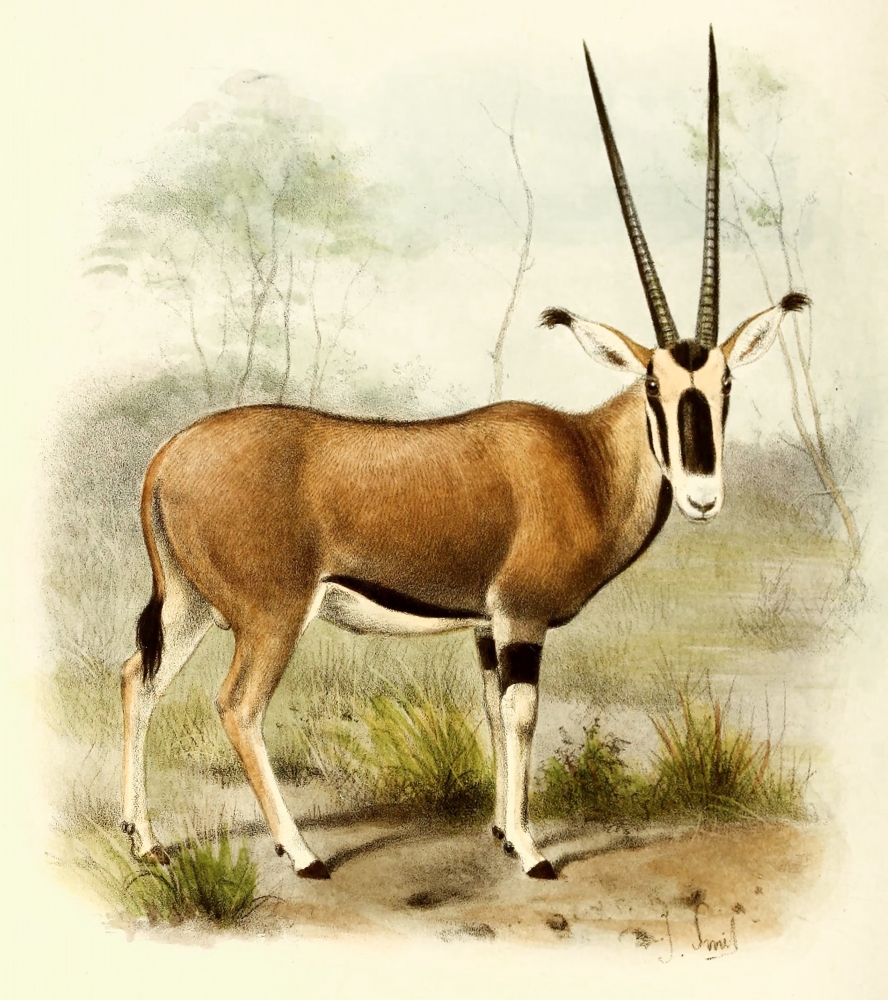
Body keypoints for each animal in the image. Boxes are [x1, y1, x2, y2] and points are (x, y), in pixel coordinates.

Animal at [120, 30, 807, 880]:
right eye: (654, 382)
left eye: (725, 382)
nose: (703, 495)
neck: (585, 457)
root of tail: (167, 457)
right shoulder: (521, 618)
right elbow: (521, 716)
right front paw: (534, 851)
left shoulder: (487, 627)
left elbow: (489, 713)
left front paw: (503, 831)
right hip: (268, 617)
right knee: (236, 704)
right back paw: (301, 852)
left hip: (189, 603)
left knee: (139, 679)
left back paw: (146, 839)